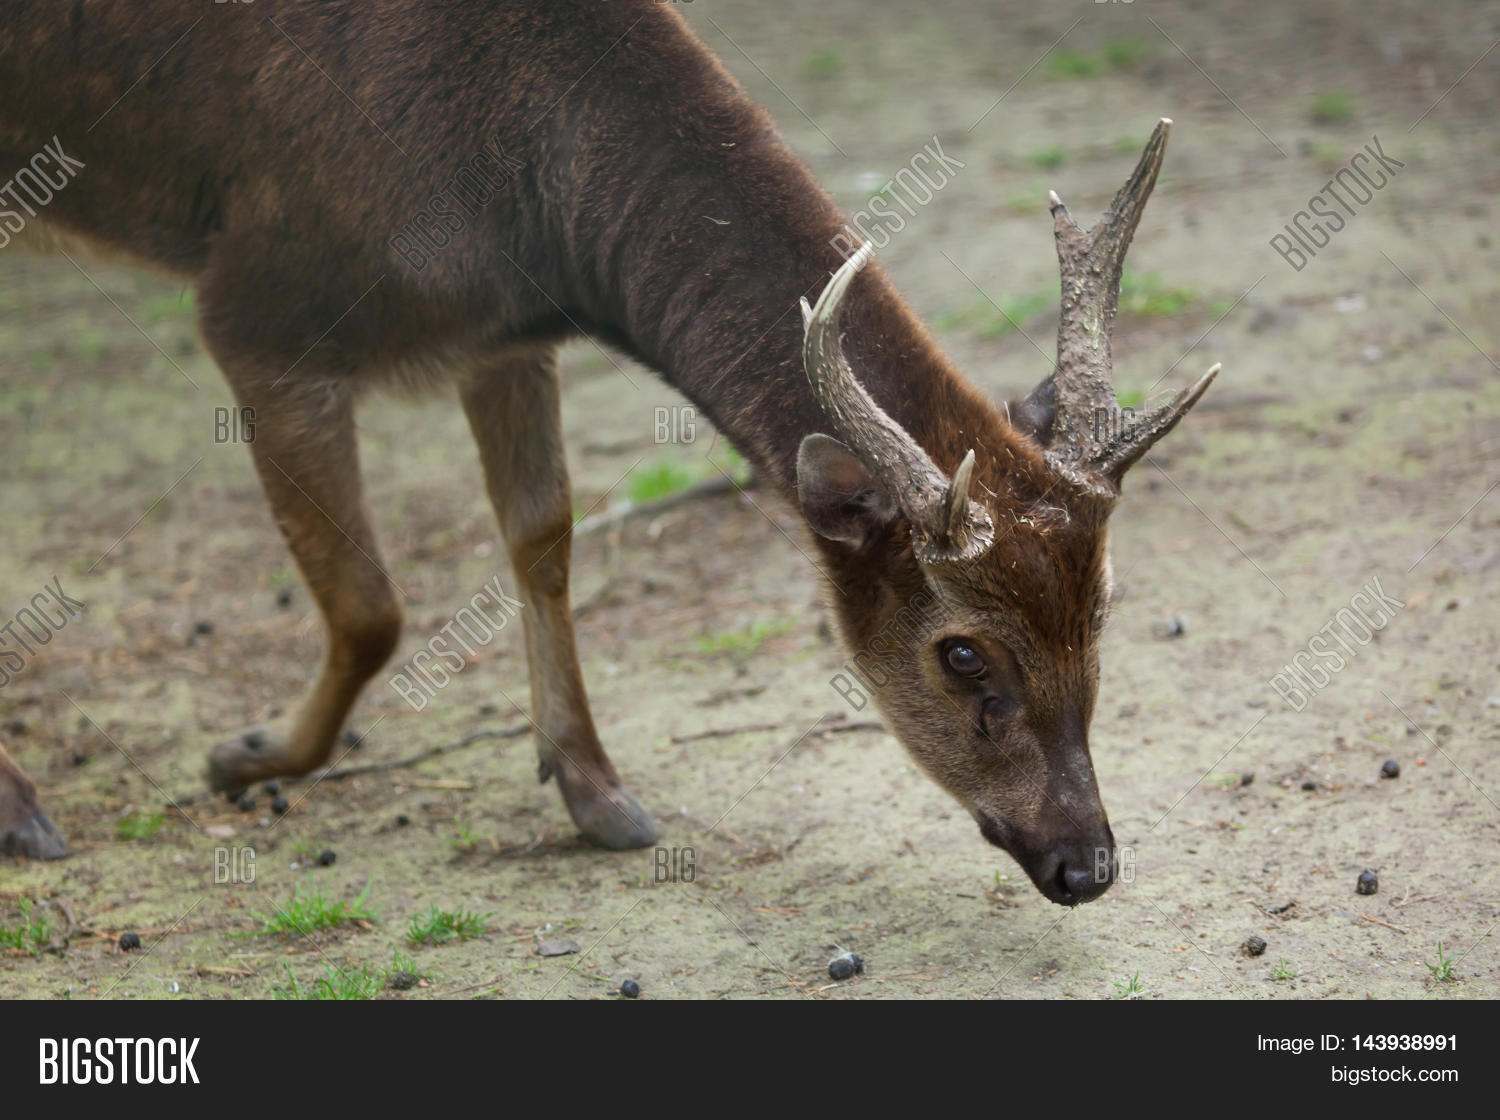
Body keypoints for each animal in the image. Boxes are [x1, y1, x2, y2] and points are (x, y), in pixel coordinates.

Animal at [0, 1, 1216, 905]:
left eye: (1104, 602)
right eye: (961, 653)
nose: (1089, 863)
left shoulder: (501, 339)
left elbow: (543, 538)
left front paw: (597, 794)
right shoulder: (261, 306)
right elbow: (370, 604)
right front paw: (246, 756)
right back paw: (28, 813)